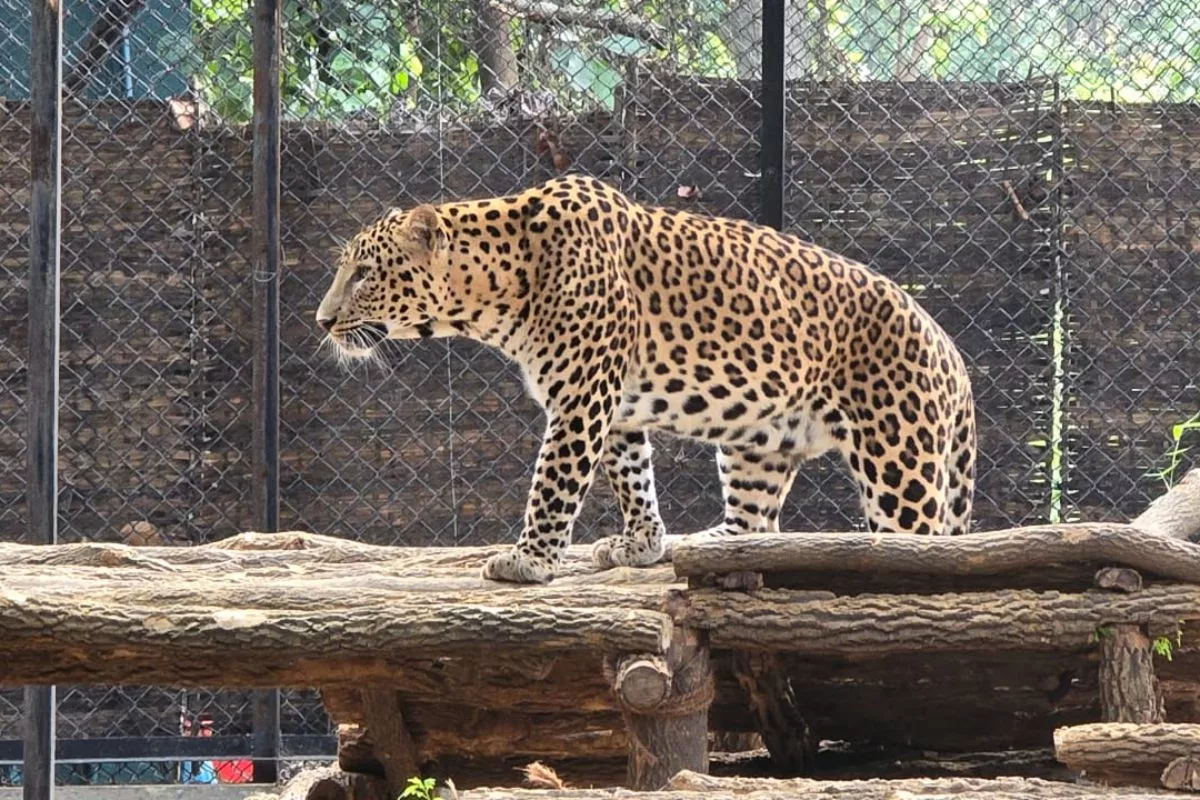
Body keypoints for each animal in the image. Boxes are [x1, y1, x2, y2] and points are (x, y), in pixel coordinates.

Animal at [316, 174, 976, 584]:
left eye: (364, 273)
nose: (321, 320)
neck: (495, 292)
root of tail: (950, 349)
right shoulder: (613, 406)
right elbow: (632, 478)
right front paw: (642, 545)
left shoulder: (582, 399)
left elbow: (552, 484)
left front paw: (530, 560)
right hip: (756, 443)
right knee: (756, 520)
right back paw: (708, 544)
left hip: (899, 463)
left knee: (925, 539)